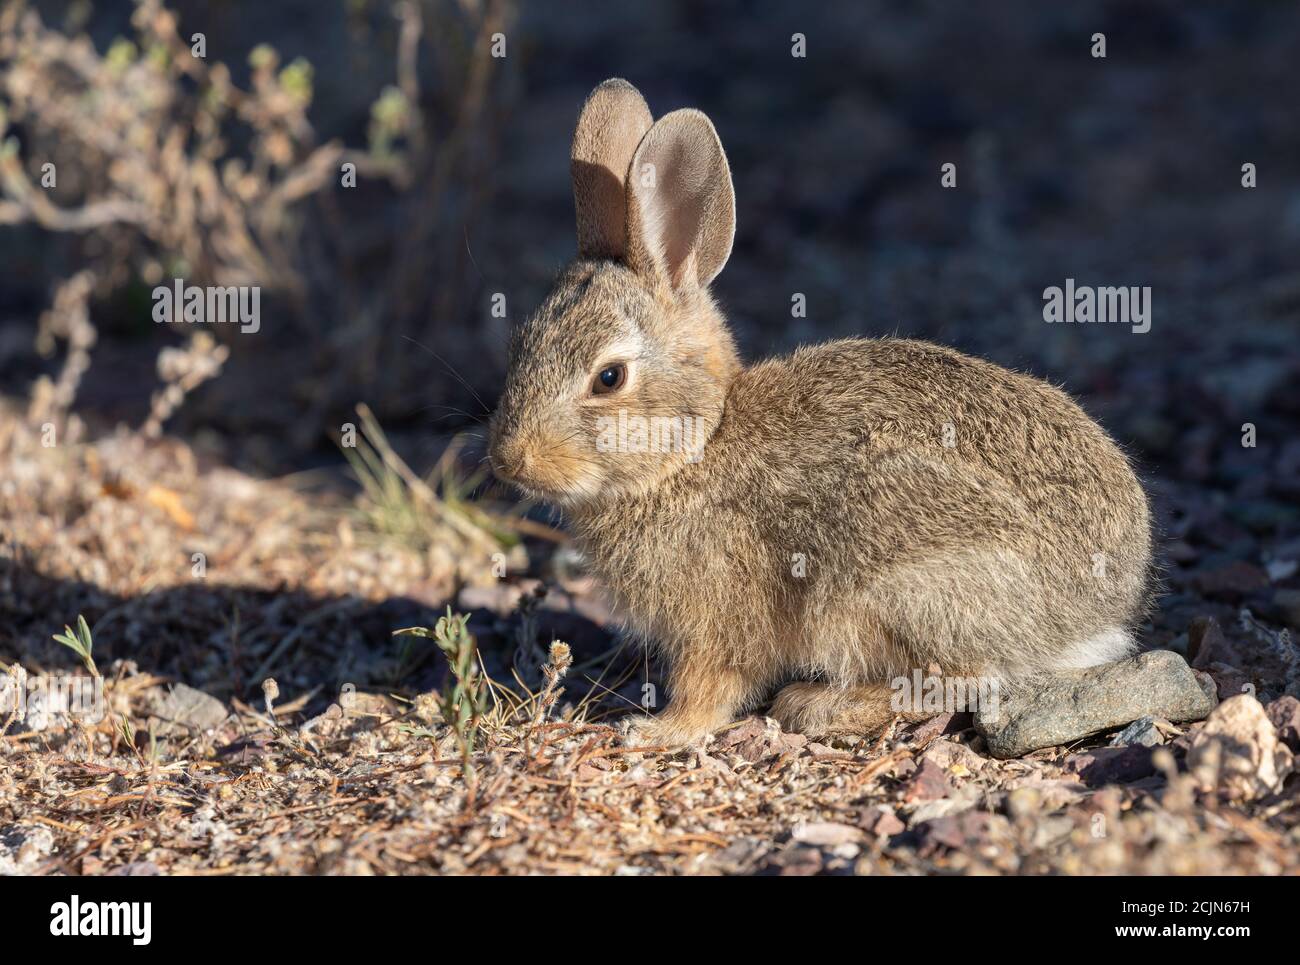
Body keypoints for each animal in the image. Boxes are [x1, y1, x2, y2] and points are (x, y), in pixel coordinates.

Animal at [488, 78, 1152, 747]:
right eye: (518, 346)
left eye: (609, 378)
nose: (508, 461)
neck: (693, 450)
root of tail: (1093, 614)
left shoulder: (721, 616)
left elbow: (710, 686)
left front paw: (654, 731)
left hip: (888, 575)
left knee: (957, 681)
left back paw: (814, 705)